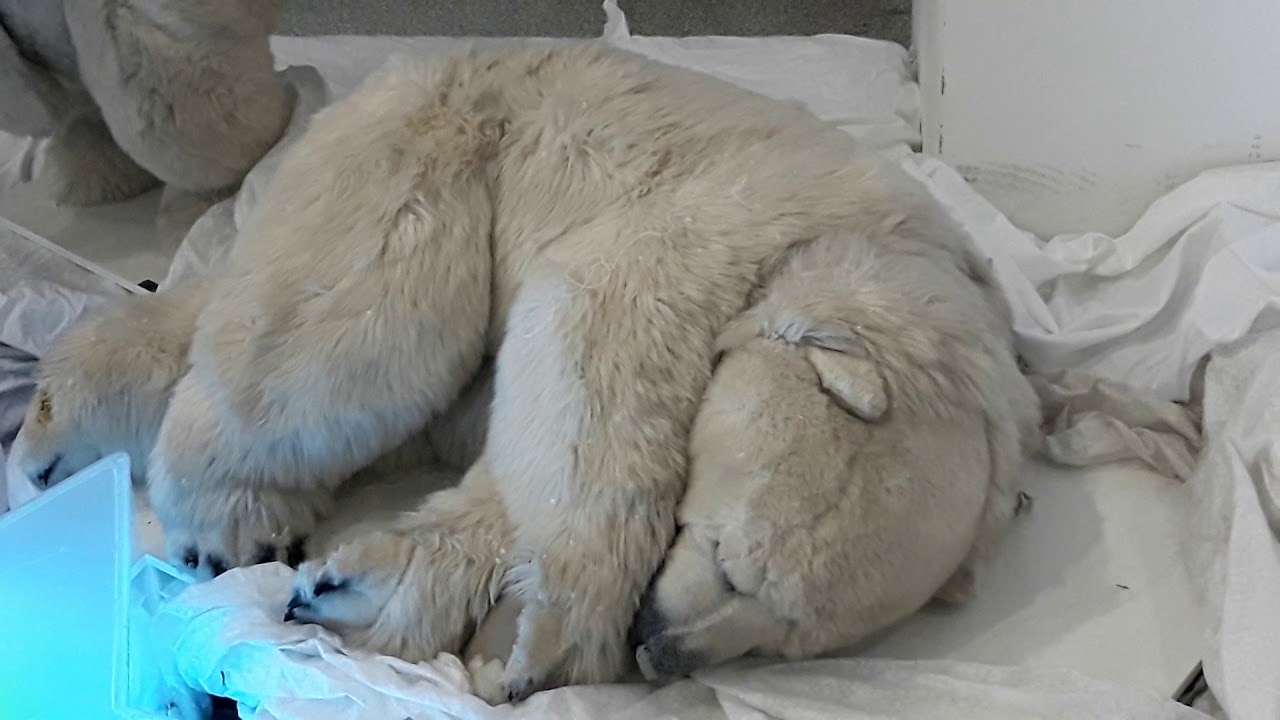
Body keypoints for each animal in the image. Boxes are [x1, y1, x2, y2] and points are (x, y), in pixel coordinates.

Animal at [221, 42, 1019, 701]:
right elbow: (587, 325)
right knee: (343, 341)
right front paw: (550, 645)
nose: (657, 651)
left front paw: (424, 611)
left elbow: (518, 464)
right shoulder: (720, 225)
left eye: (789, 636)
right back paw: (231, 518)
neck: (880, 256)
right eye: (729, 566)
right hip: (419, 156)